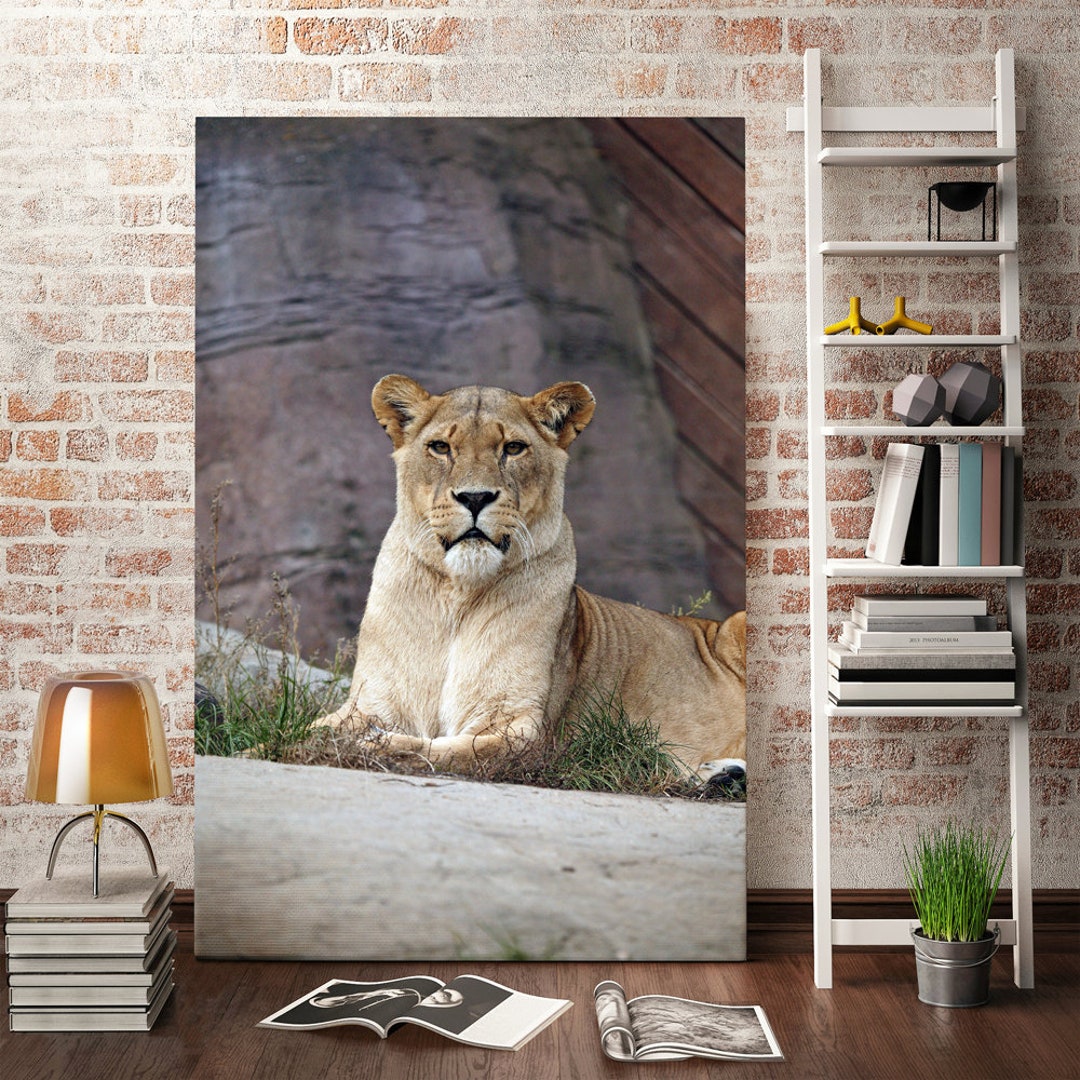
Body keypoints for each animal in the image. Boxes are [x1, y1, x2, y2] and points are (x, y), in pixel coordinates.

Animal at [314, 374, 746, 779]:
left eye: (513, 448)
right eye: (440, 447)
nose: (475, 497)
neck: (457, 593)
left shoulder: (525, 732)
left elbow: (443, 751)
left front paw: (372, 744)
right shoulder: (371, 701)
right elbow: (320, 726)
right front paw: (337, 735)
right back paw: (719, 777)